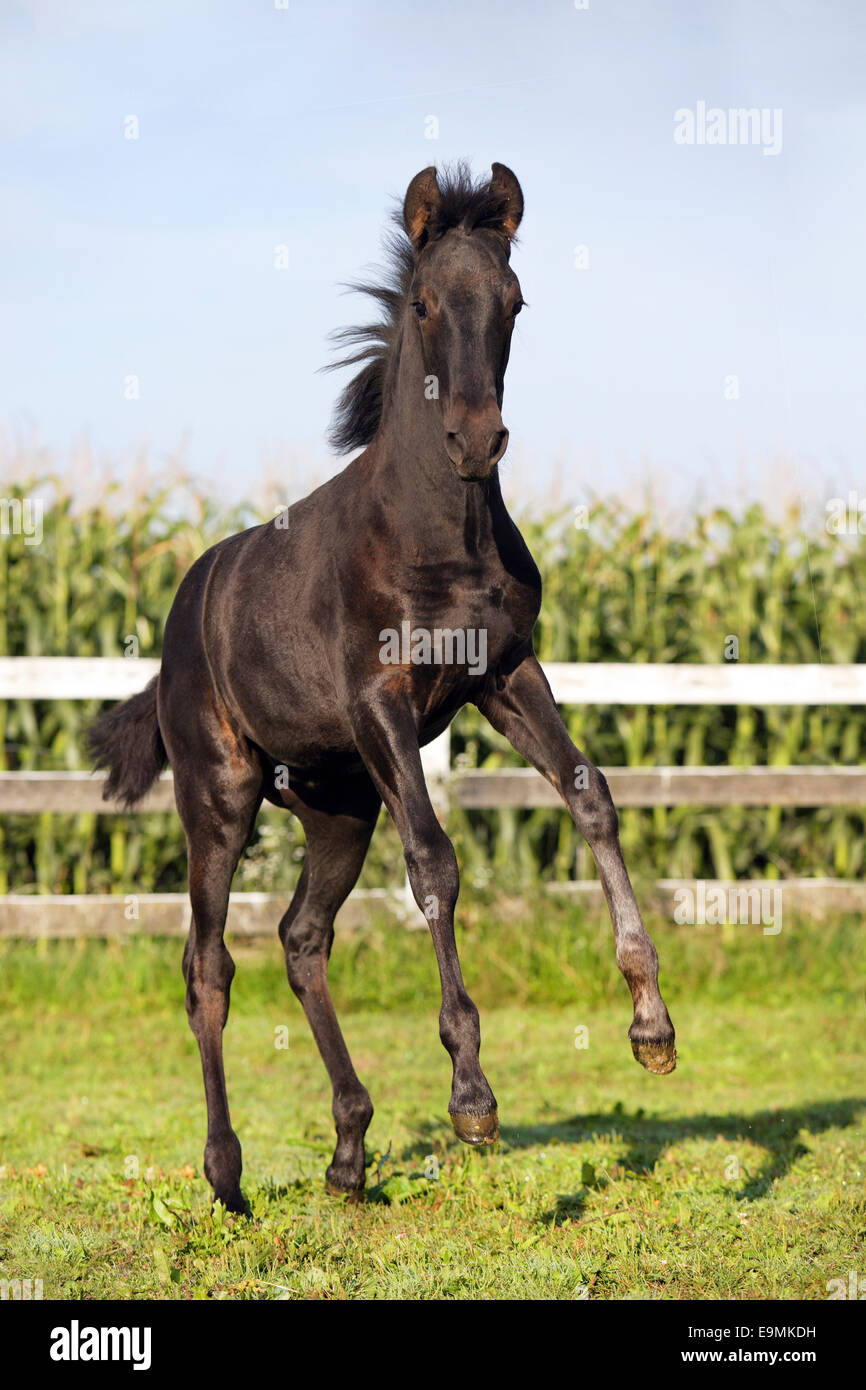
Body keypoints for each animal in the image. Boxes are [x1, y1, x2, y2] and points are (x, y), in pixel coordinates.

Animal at [89, 162, 676, 1214]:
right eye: (424, 302)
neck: (438, 532)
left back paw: (350, 1152)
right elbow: (436, 863)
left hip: (338, 803)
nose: (478, 439)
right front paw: (473, 1098)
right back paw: (227, 1175)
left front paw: (651, 1025)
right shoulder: (381, 705)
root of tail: (184, 612)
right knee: (208, 964)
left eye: (516, 302)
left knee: (300, 937)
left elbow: (591, 798)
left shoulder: (504, 675)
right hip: (221, 793)